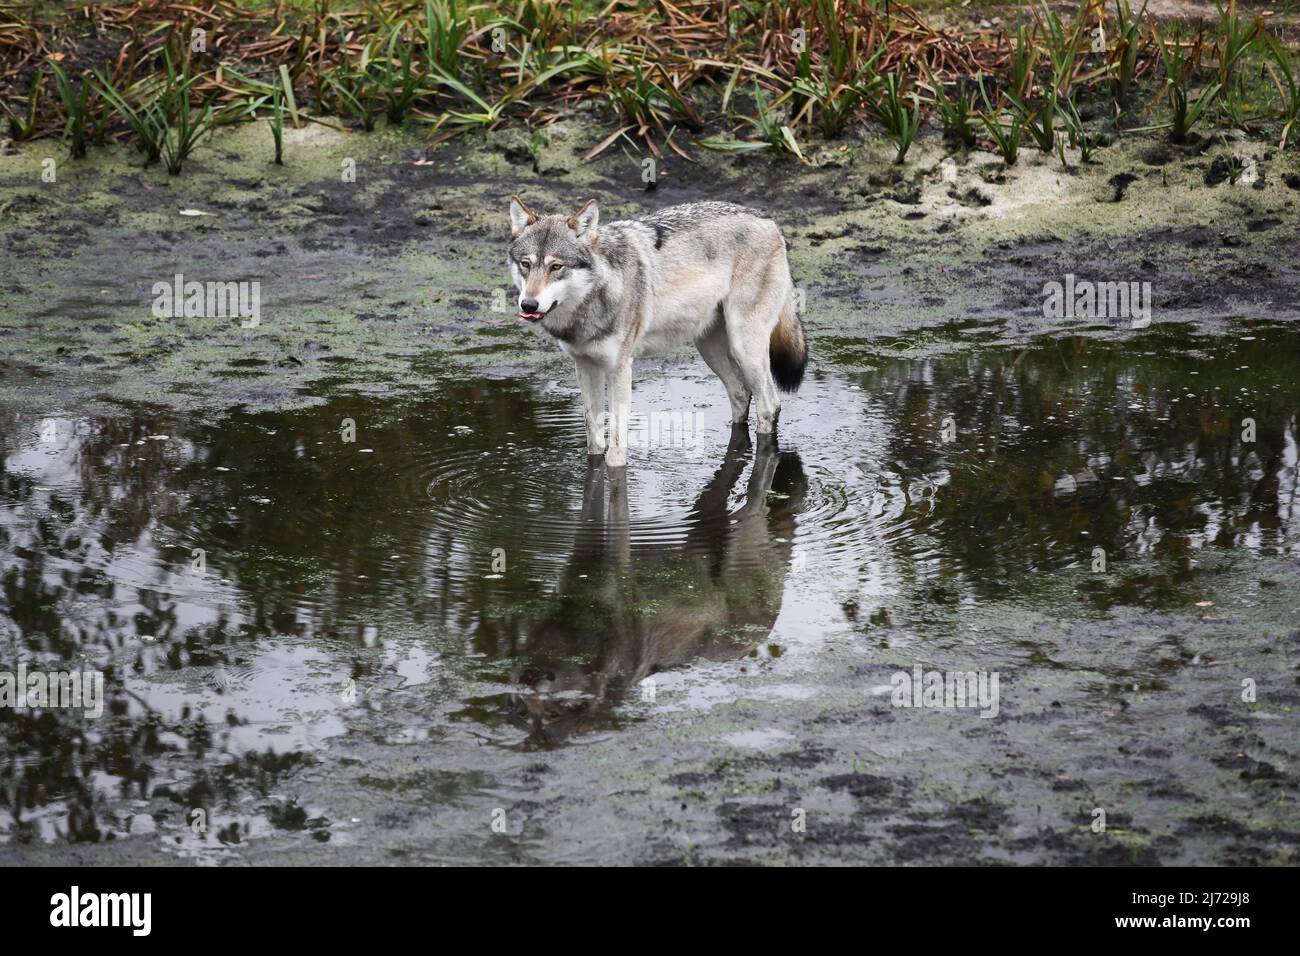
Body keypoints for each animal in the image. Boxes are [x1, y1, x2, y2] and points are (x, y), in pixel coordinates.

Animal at [507, 197, 807, 466]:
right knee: (741, 395)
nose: (529, 305)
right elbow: (595, 442)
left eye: (556, 266)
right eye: (526, 264)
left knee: (769, 405)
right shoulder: (585, 366)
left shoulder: (620, 369)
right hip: (710, 349)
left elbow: (615, 453)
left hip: (744, 349)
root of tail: (768, 220)